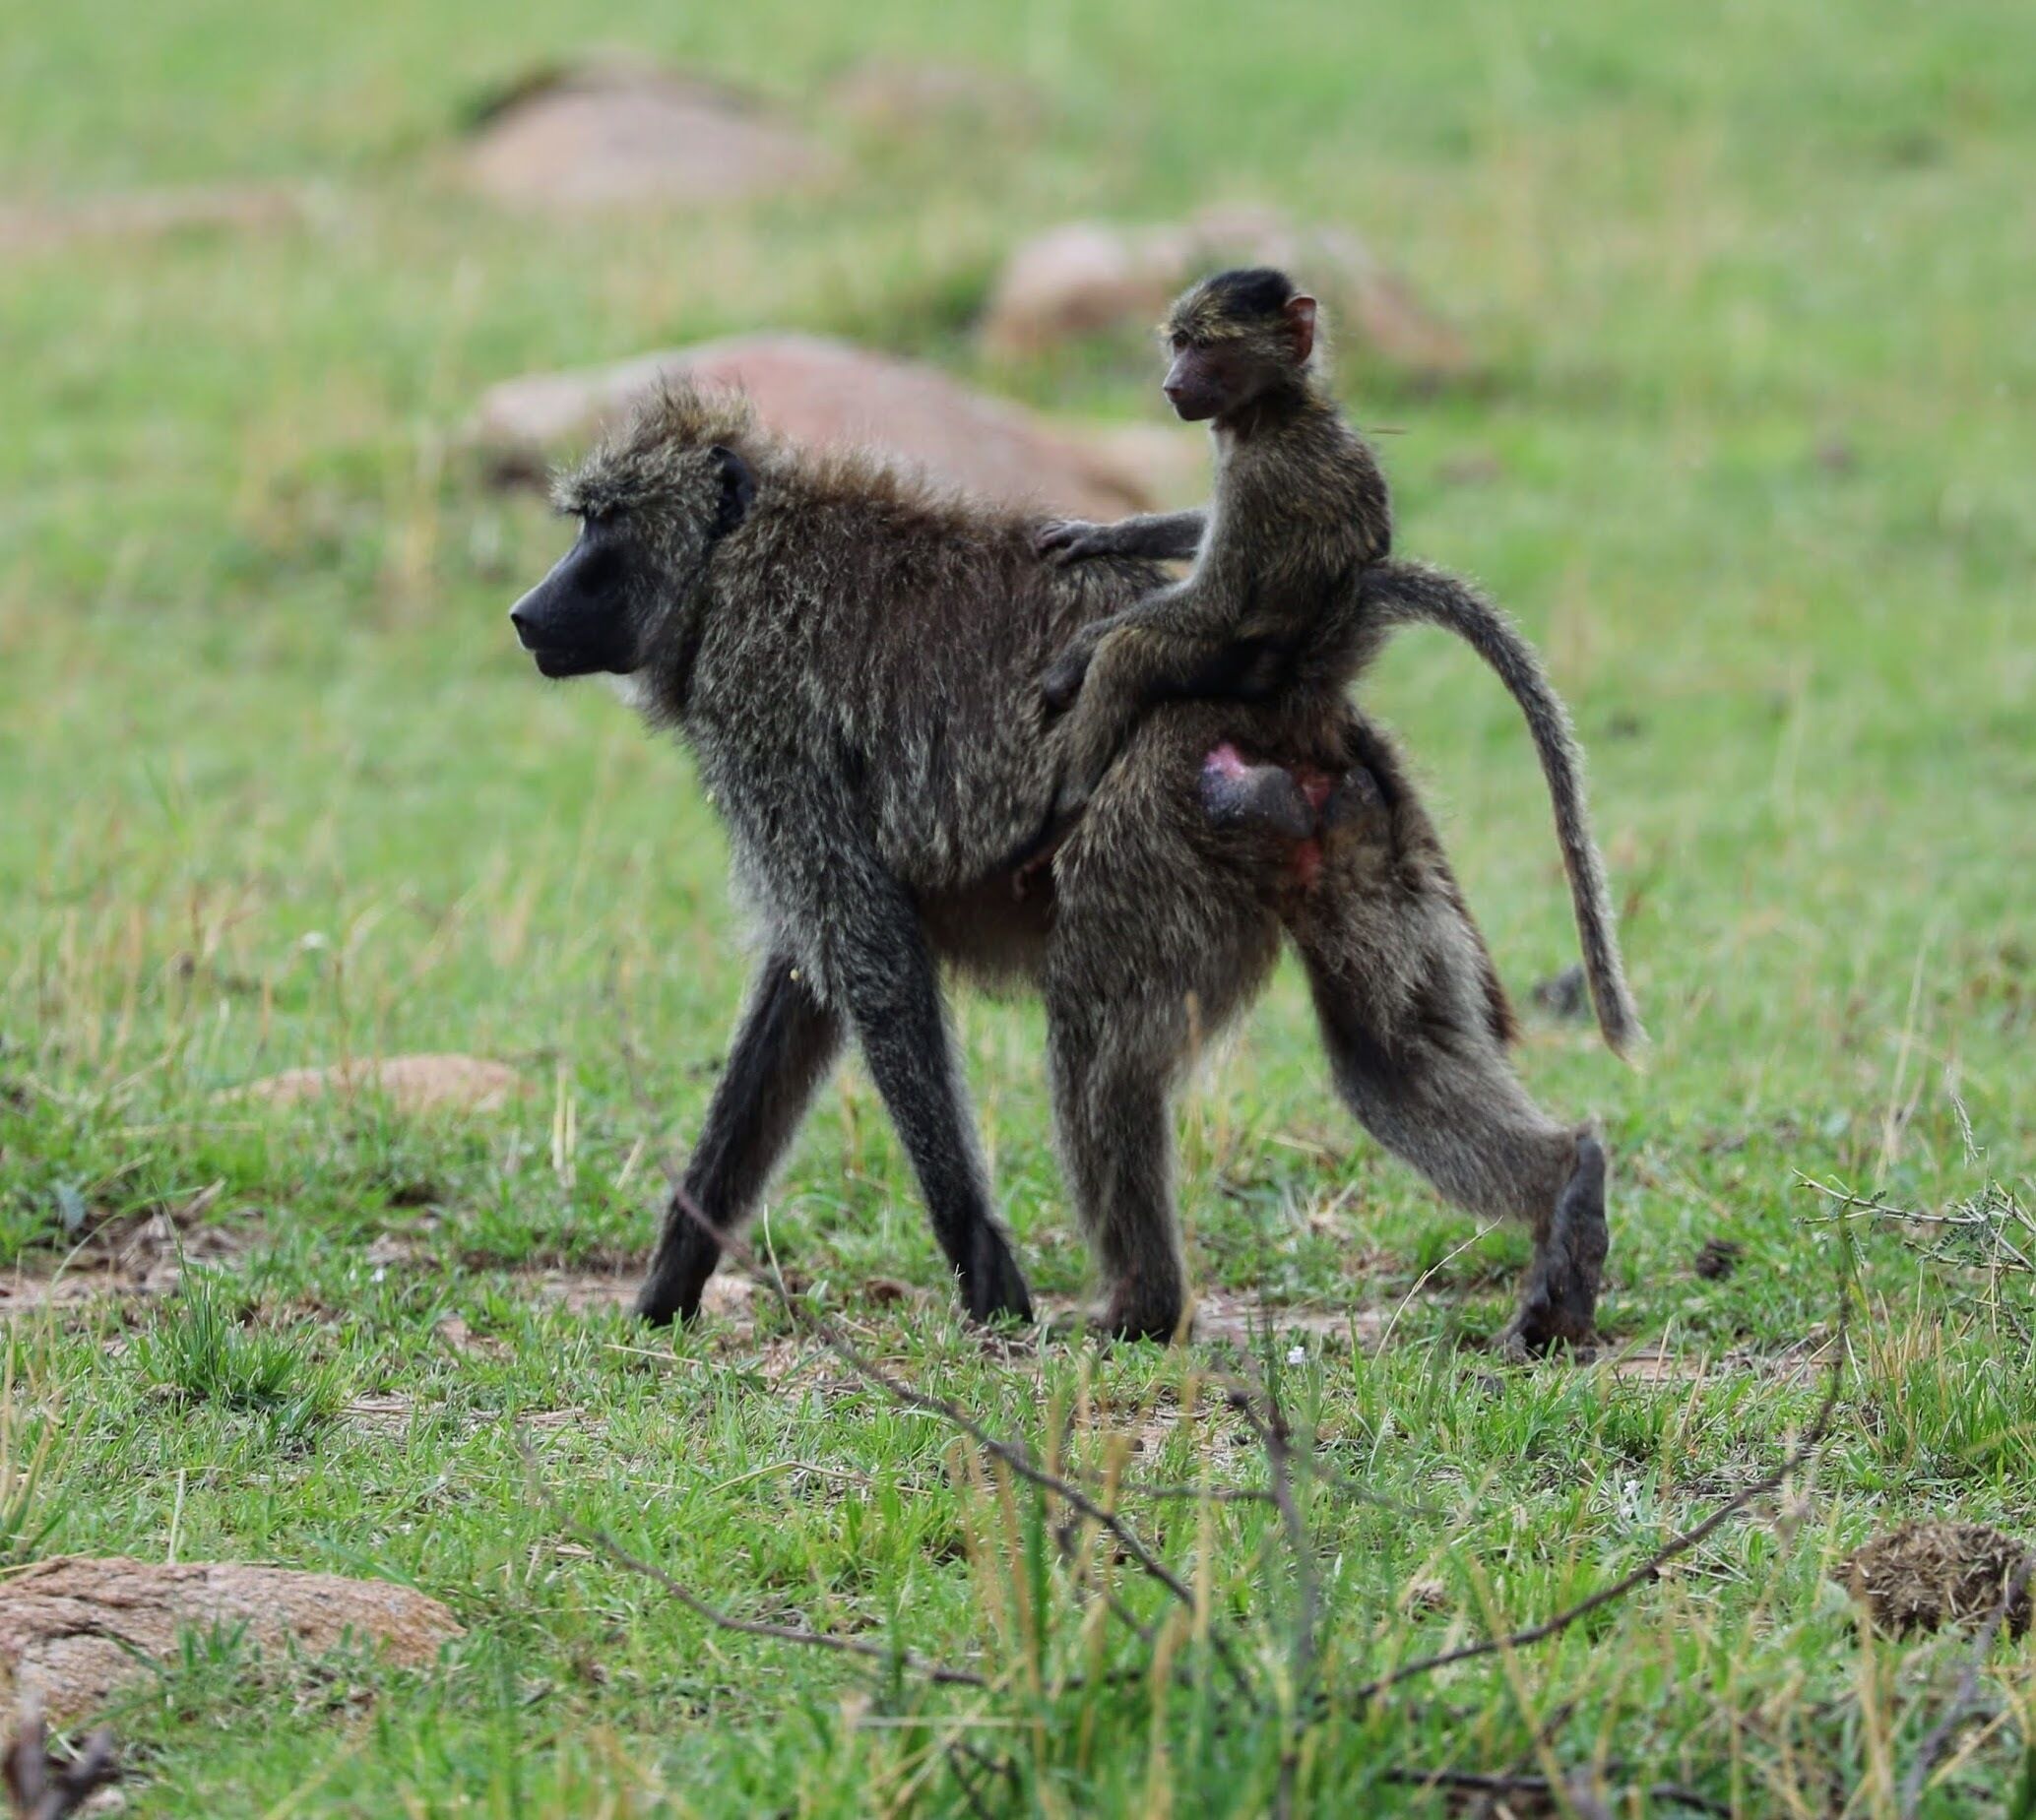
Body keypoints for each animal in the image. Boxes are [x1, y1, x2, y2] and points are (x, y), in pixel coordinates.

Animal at [507, 381, 1614, 1354]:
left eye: (602, 526)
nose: (524, 612)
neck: (735, 559)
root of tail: (1288, 689)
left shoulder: (765, 713)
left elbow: (873, 961)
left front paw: (986, 1273)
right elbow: (801, 994)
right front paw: (666, 1289)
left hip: (1155, 830)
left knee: (1096, 1045)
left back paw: (1141, 1309)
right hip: (1355, 838)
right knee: (1388, 1062)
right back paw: (1568, 1201)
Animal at [1035, 267, 1643, 1059]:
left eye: (1203, 346)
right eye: (1178, 343)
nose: (1172, 384)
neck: (1278, 408)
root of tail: (1309, 661)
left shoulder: (1260, 480)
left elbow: (1214, 599)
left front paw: (1080, 650)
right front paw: (1102, 534)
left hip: (1229, 667)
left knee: (1134, 654)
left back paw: (1069, 798)